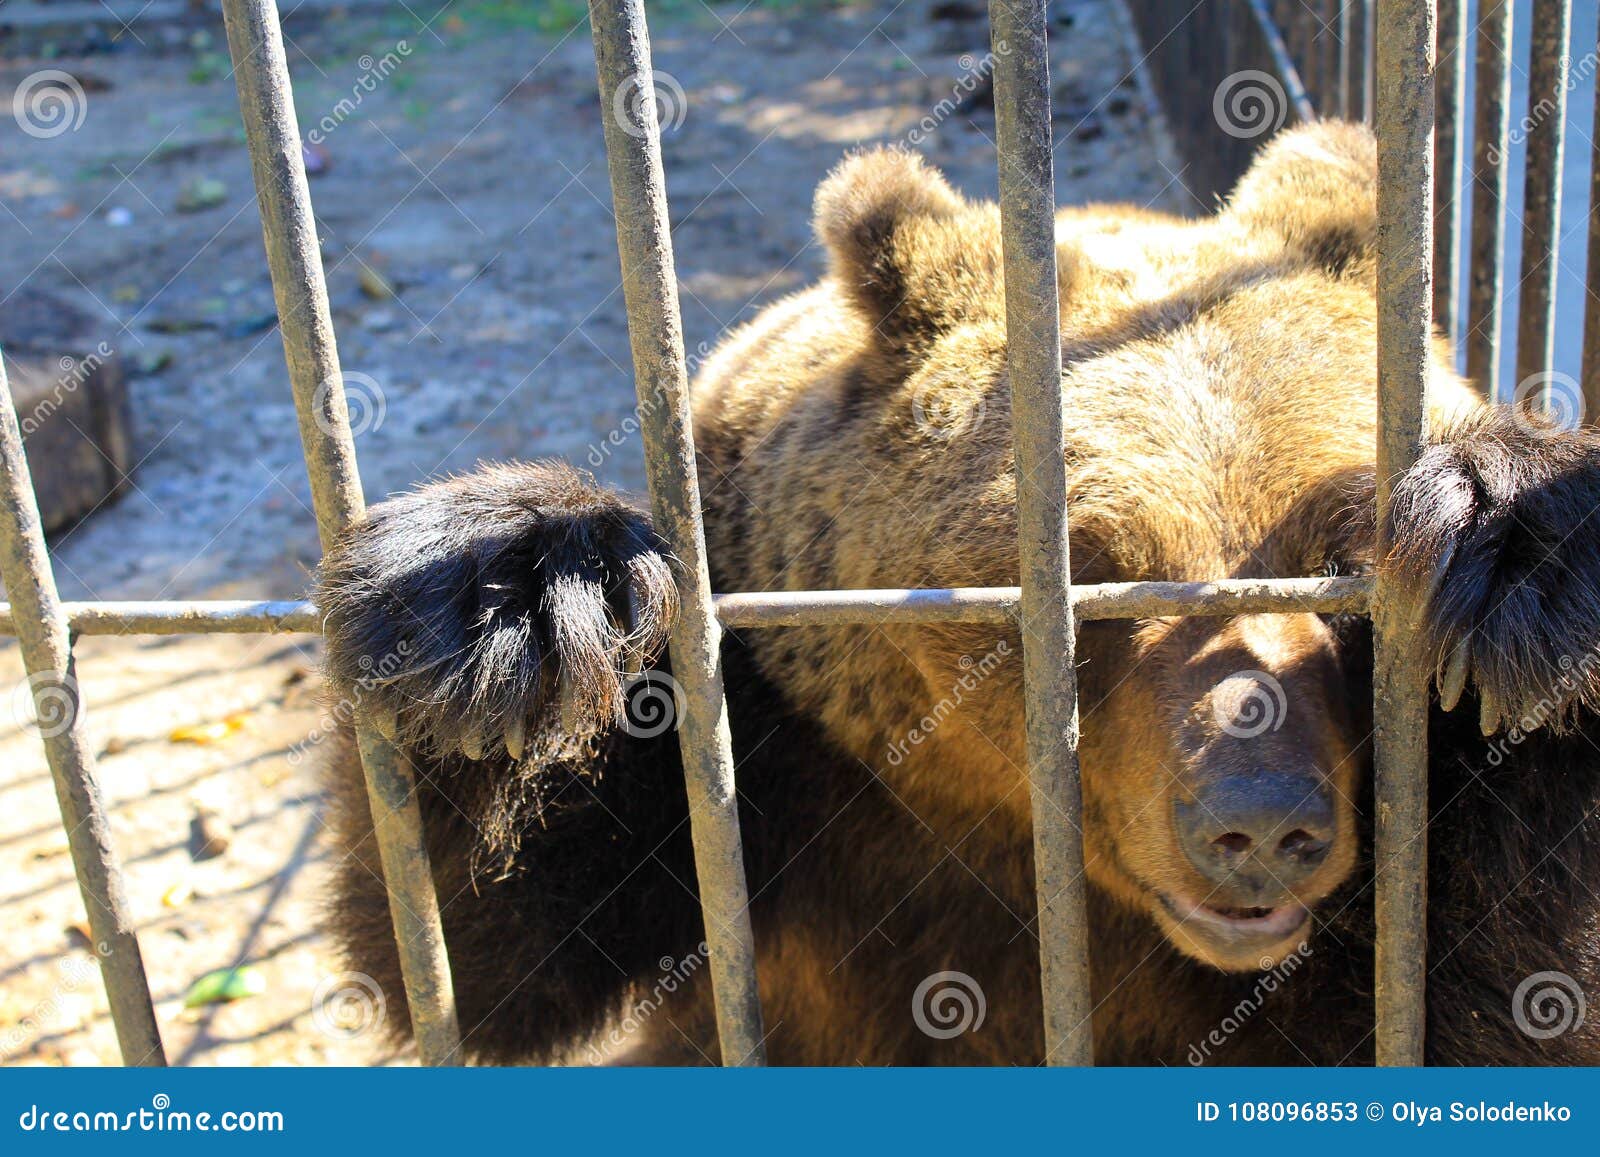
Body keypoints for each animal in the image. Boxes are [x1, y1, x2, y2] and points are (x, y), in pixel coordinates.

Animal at [313, 121, 1600, 1065]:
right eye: (1098, 573)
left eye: (1343, 571)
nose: (1262, 822)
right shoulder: (781, 761)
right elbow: (489, 953)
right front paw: (510, 585)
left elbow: (1514, 994)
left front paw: (1529, 545)